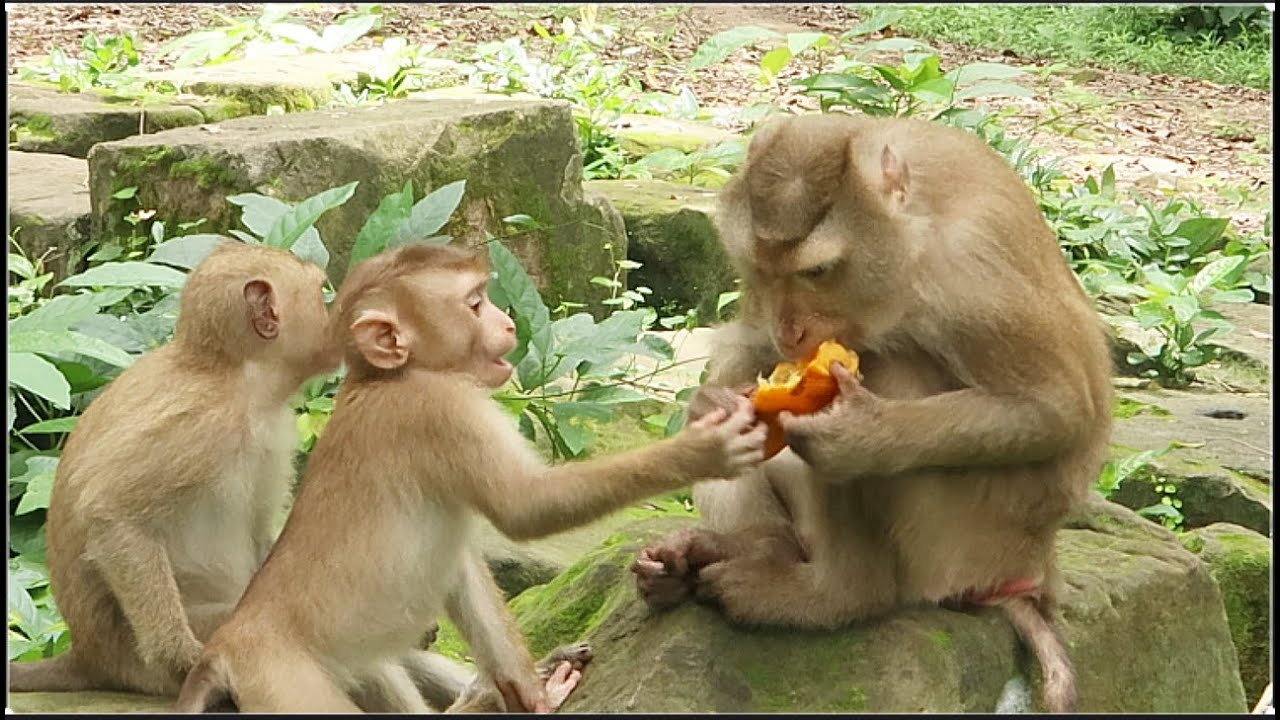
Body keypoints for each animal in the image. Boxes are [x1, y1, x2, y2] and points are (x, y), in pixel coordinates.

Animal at [8, 241, 338, 697]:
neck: (236, 376)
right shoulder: (202, 424)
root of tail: (89, 654)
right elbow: (112, 515)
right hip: (134, 659)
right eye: (320, 295)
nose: (336, 317)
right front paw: (180, 658)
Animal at [173, 242, 768, 714]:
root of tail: (224, 646)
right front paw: (705, 449)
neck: (388, 377)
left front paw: (531, 693)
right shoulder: (443, 410)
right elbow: (526, 506)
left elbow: (464, 570)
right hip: (284, 680)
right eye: (476, 303)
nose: (508, 323)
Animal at [630, 112, 1114, 714]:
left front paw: (860, 437)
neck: (909, 236)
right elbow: (748, 345)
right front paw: (712, 409)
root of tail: (1034, 571)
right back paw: (738, 552)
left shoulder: (971, 265)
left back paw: (837, 595)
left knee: (891, 367)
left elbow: (1057, 412)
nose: (792, 331)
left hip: (956, 548)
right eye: (765, 271)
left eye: (817, 272)